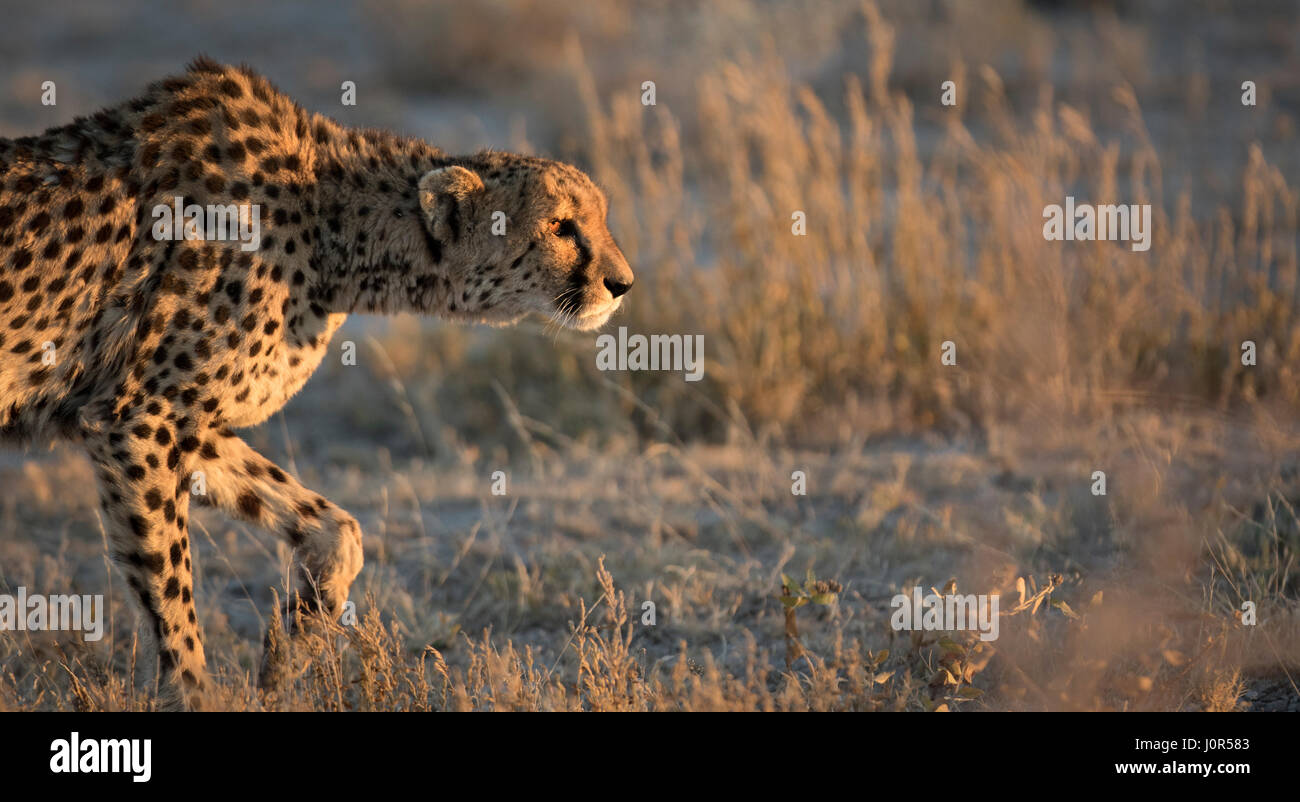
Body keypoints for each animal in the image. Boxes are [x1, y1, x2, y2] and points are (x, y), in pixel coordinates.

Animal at [0, 57, 633, 709]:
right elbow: (170, 589)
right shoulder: (136, 420)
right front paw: (198, 690)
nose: (623, 283)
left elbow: (336, 528)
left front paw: (292, 647)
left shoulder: (173, 421)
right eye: (562, 226)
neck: (330, 222)